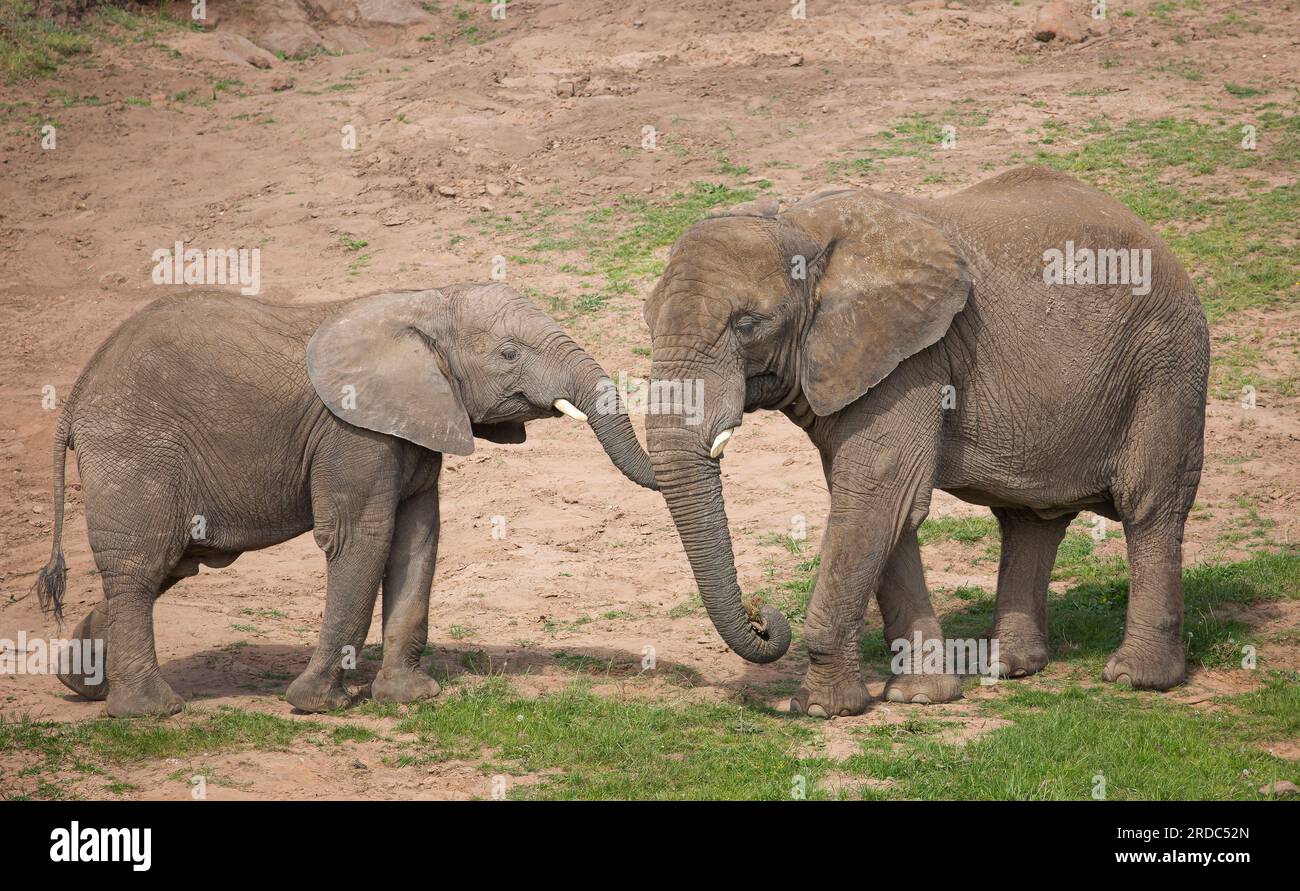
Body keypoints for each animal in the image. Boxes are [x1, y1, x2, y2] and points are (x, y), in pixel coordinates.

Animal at [31, 283, 657, 717]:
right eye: (508, 354)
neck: (426, 306)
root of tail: (77, 396)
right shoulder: (351, 431)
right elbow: (362, 538)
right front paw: (318, 705)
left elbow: (418, 538)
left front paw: (409, 697)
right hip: (134, 450)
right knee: (142, 566)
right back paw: (150, 711)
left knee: (169, 563)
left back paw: (81, 682)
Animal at [643, 165, 1209, 717]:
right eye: (647, 323)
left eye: (746, 325)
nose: (764, 615)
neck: (802, 229)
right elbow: (882, 509)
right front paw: (919, 697)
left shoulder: (912, 359)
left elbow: (875, 497)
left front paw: (821, 708)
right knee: (1030, 519)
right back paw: (1006, 667)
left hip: (1166, 362)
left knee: (1149, 506)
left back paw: (1136, 678)